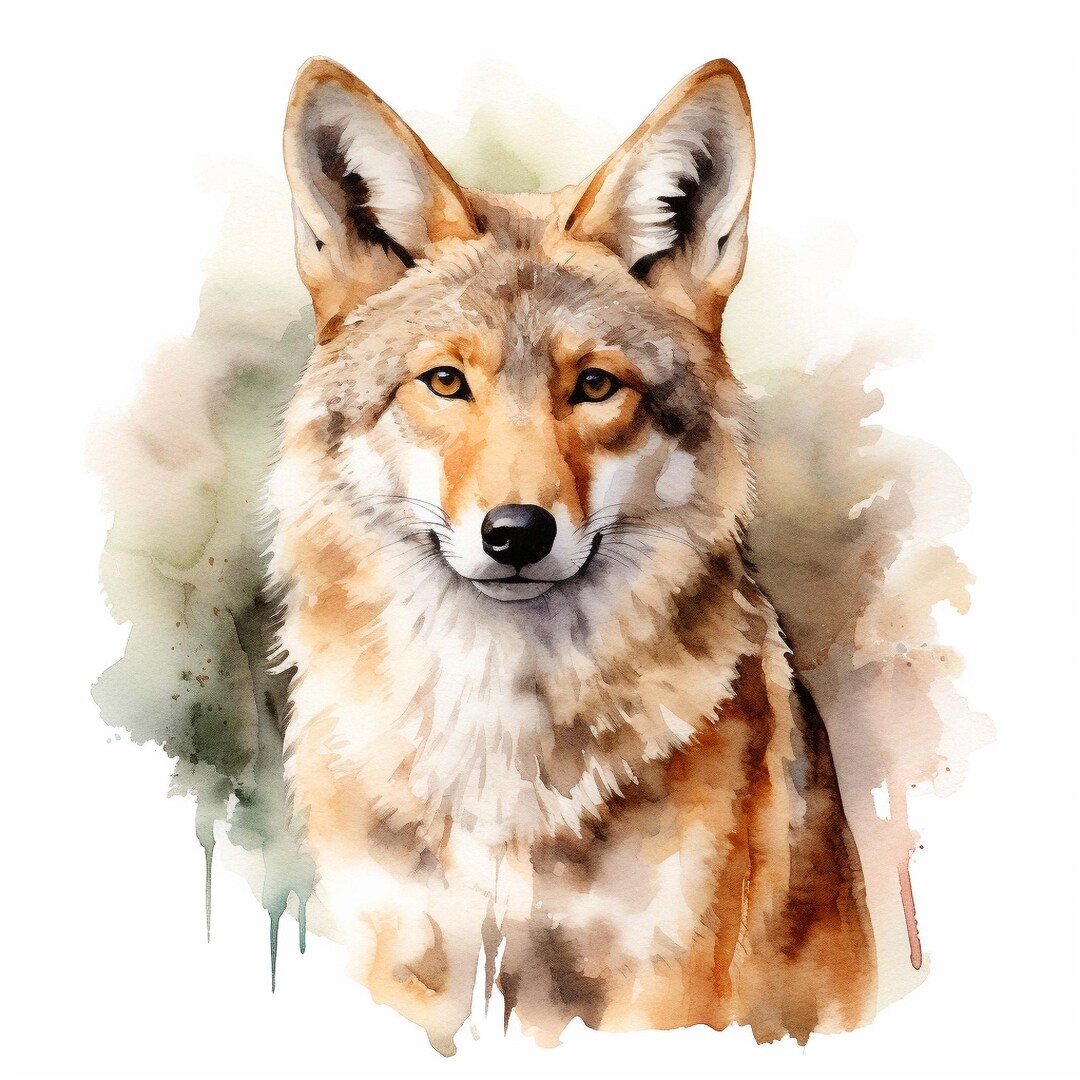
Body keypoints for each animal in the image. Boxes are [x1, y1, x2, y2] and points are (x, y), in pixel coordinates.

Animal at [268, 56, 876, 1053]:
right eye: (447, 382)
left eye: (594, 386)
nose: (516, 532)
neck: (499, 742)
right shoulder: (407, 968)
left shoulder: (663, 990)